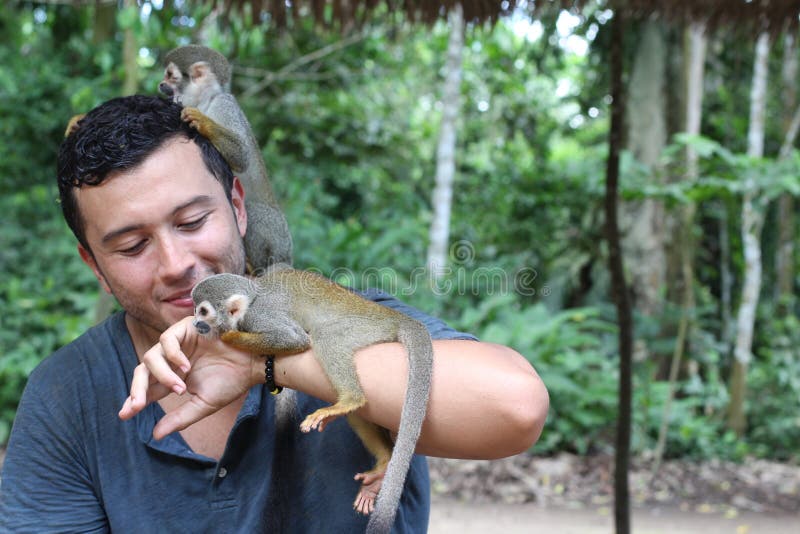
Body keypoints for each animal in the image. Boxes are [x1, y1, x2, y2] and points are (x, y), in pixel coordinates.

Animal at [159, 44, 293, 271]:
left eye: (170, 75)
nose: (161, 84)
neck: (206, 102)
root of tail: (288, 256)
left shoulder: (224, 103)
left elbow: (241, 156)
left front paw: (203, 122)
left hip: (277, 236)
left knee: (251, 209)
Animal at [191, 265, 434, 534]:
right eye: (195, 309)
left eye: (203, 311)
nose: (195, 322)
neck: (251, 300)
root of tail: (393, 316)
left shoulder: (259, 317)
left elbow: (294, 339)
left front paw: (229, 336)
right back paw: (383, 460)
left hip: (363, 328)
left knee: (325, 336)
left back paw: (351, 400)